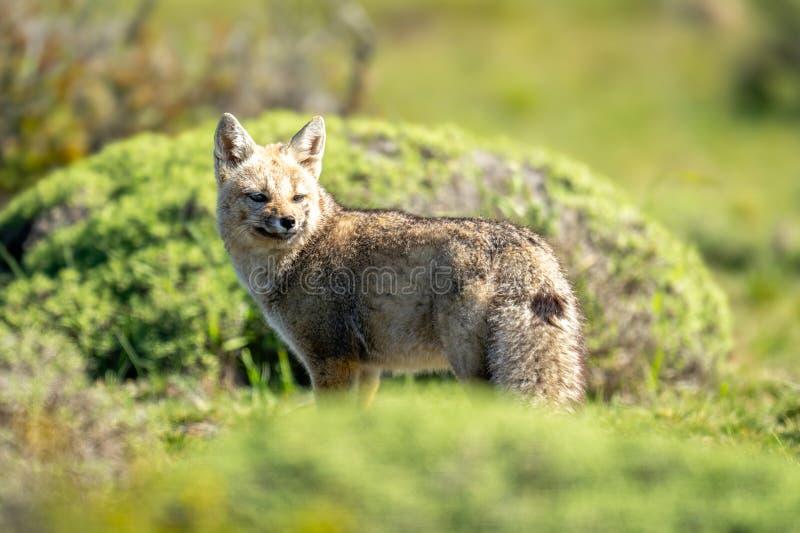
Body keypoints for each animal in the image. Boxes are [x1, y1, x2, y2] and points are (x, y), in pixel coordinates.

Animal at [214, 114, 586, 406]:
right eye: (259, 197)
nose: (289, 222)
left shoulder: (331, 361)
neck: (303, 253)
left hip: (471, 372)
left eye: (298, 197)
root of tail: (522, 244)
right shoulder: (366, 369)